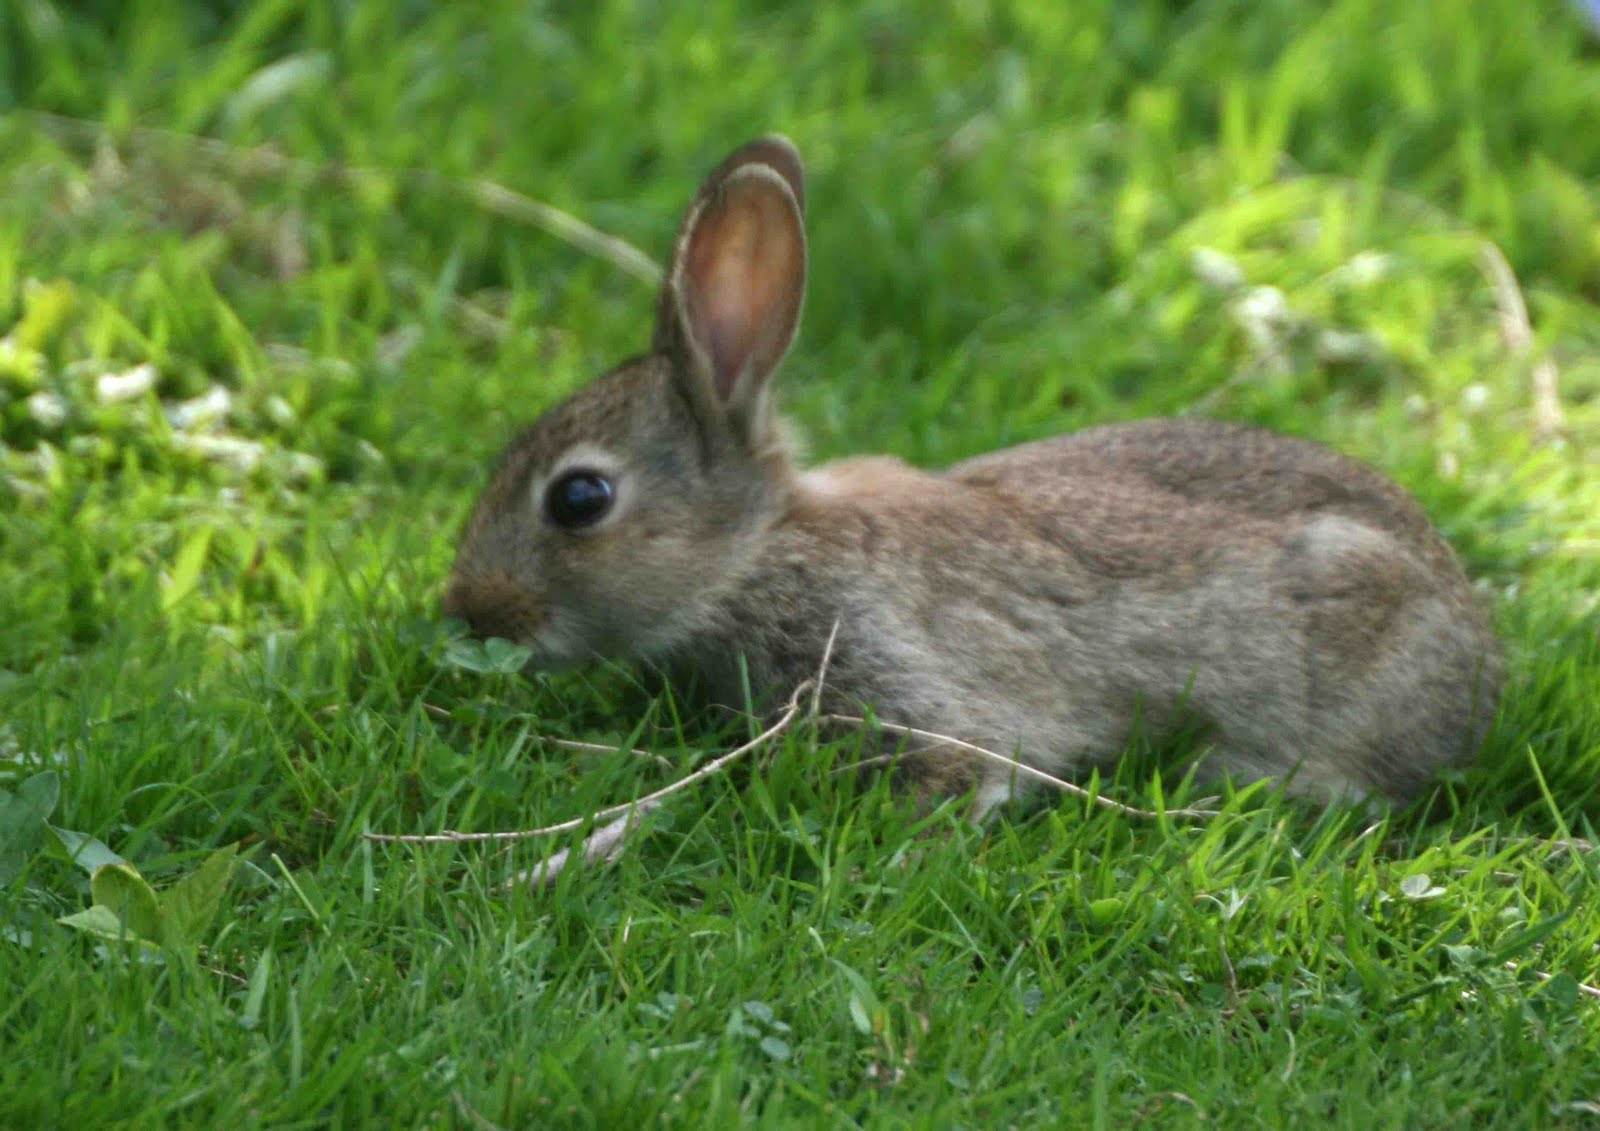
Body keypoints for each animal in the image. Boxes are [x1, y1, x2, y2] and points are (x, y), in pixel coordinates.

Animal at [442, 135, 1502, 817]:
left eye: (580, 499)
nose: (469, 610)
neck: (759, 552)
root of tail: (1483, 670)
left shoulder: (901, 673)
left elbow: (969, 770)